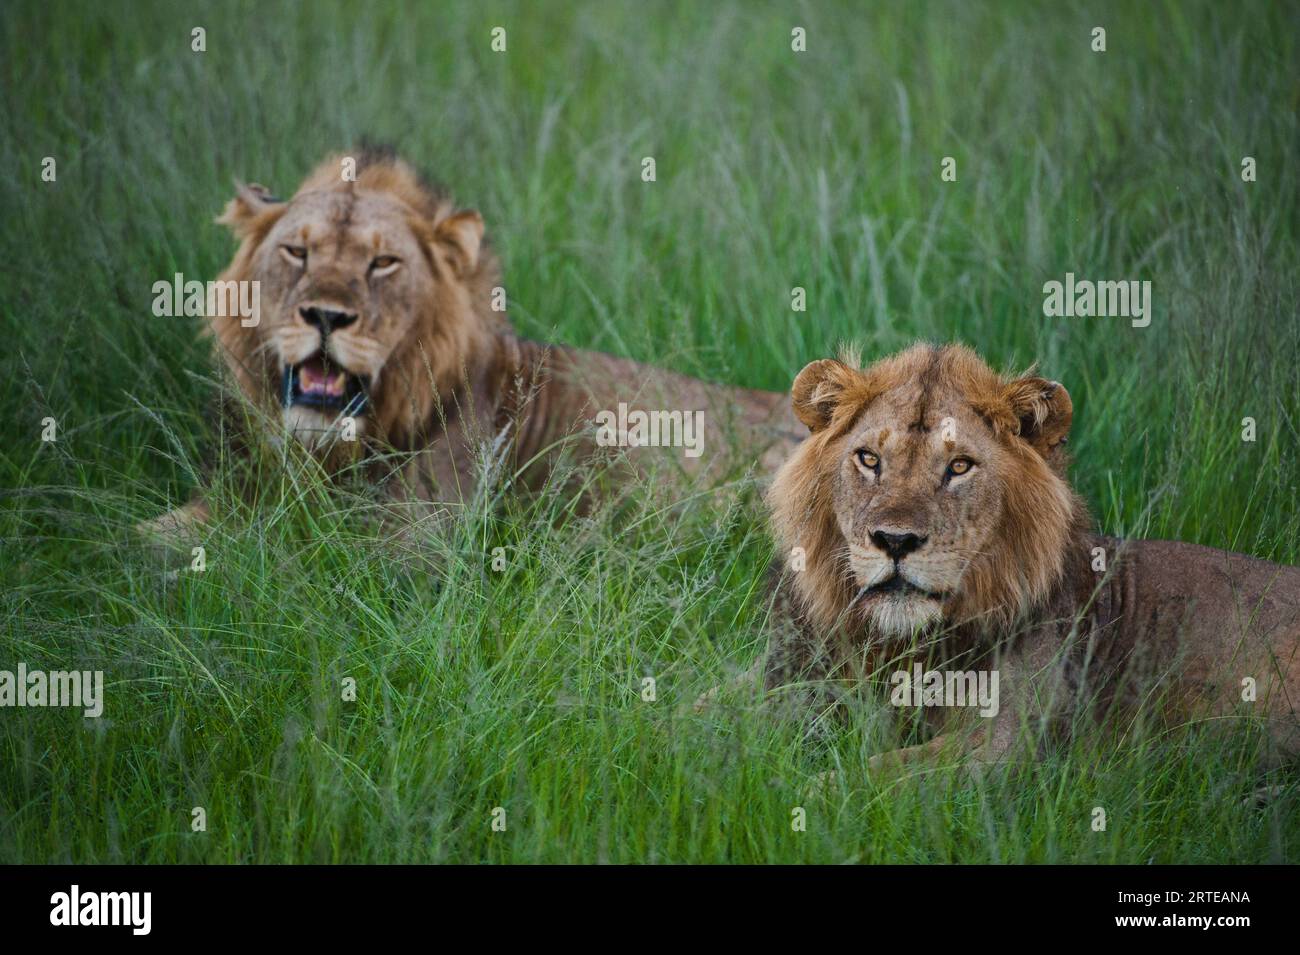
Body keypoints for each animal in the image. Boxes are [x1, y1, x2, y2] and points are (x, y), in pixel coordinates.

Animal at [747, 342, 1300, 771]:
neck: (904, 646)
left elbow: (868, 776)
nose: (895, 541)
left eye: (959, 466)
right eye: (868, 459)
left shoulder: (1008, 747)